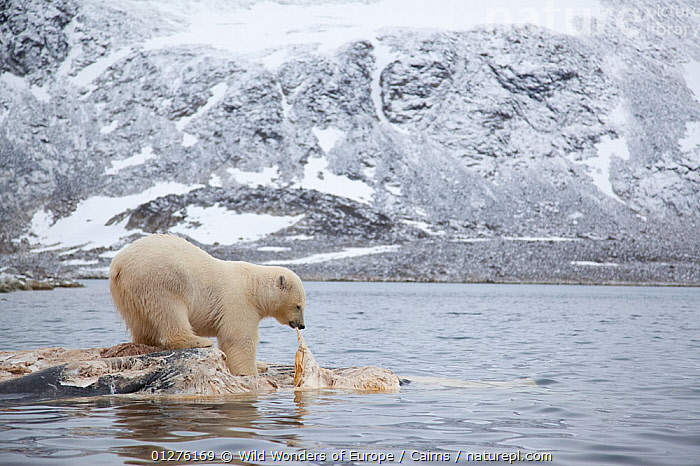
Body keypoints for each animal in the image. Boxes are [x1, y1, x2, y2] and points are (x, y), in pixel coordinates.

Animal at [108, 234, 306, 376]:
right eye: (298, 306)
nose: (302, 325)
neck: (254, 287)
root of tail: (118, 264)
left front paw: (261, 365)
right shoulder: (238, 300)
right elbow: (238, 338)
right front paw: (250, 371)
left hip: (126, 292)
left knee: (141, 323)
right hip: (158, 279)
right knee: (169, 310)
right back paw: (199, 340)